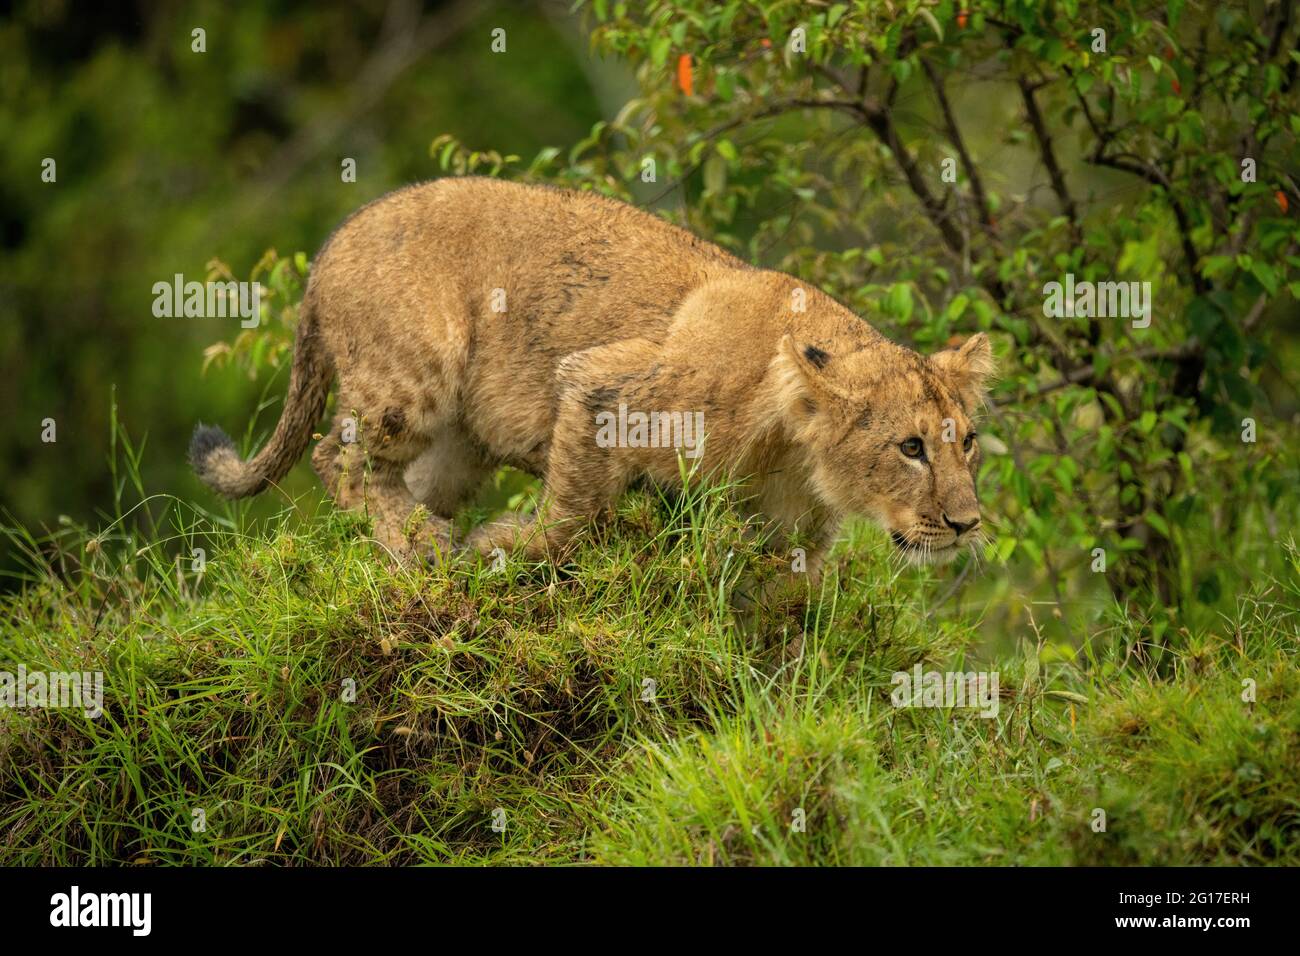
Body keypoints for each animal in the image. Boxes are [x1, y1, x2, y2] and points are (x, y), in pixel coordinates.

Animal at [190, 177, 994, 577]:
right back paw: (423, 546)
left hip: (461, 444)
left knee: (402, 479)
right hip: (412, 373)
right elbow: (576, 516)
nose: (967, 525)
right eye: (911, 448)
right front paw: (503, 548)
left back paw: (411, 539)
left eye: (967, 443)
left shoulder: (784, 538)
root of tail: (327, 250)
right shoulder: (605, 384)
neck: (797, 457)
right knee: (339, 456)